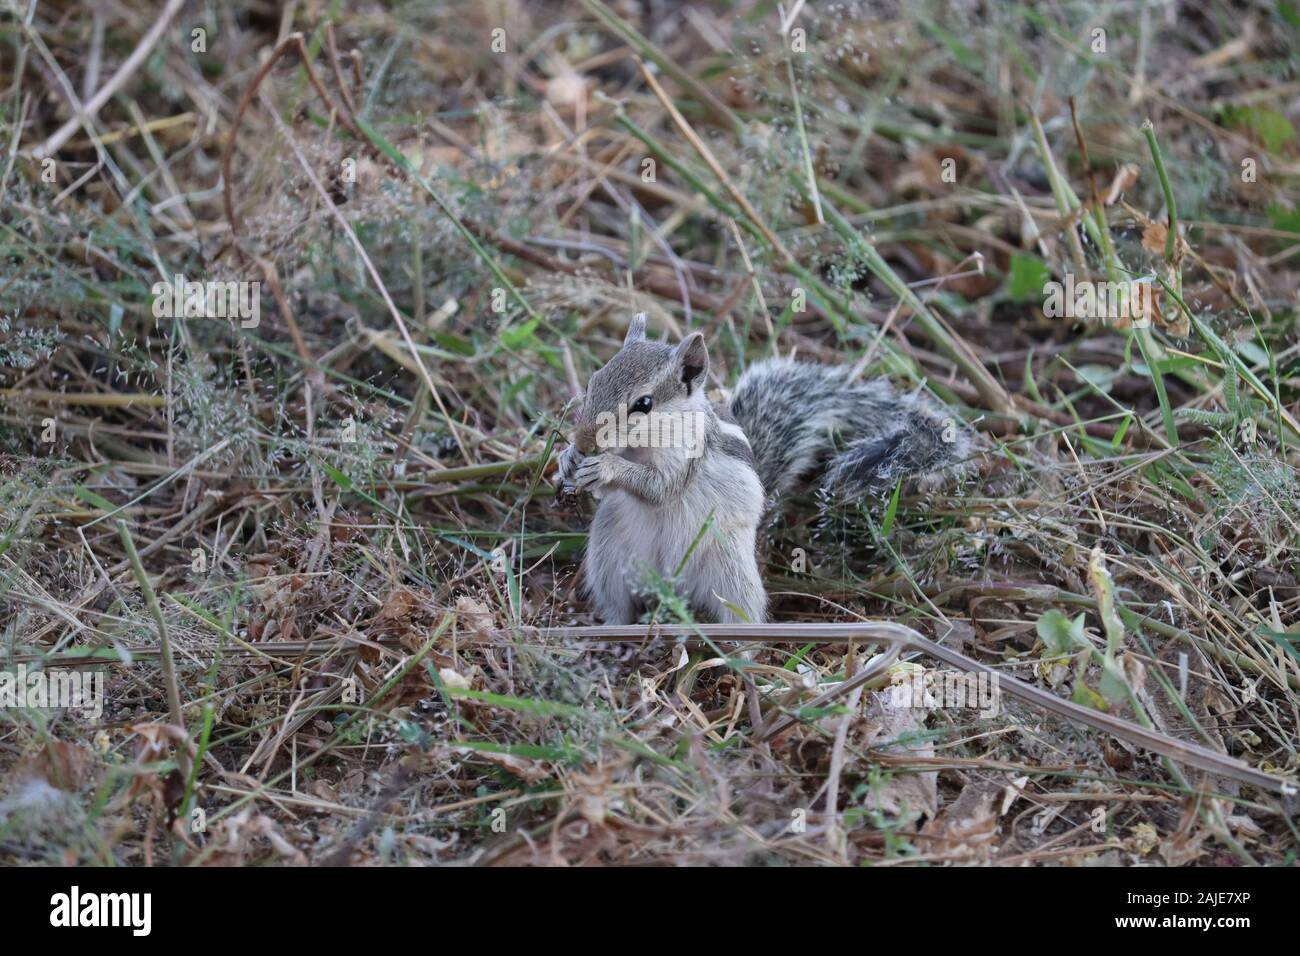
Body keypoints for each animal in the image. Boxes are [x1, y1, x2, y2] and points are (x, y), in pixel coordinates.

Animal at [553, 313, 970, 625]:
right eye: (594, 380)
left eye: (644, 404)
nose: (586, 441)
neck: (641, 448)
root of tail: (672, 583)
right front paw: (567, 459)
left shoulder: (687, 459)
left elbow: (660, 488)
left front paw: (606, 466)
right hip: (608, 557)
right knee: (618, 602)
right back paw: (611, 626)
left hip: (730, 570)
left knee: (743, 611)